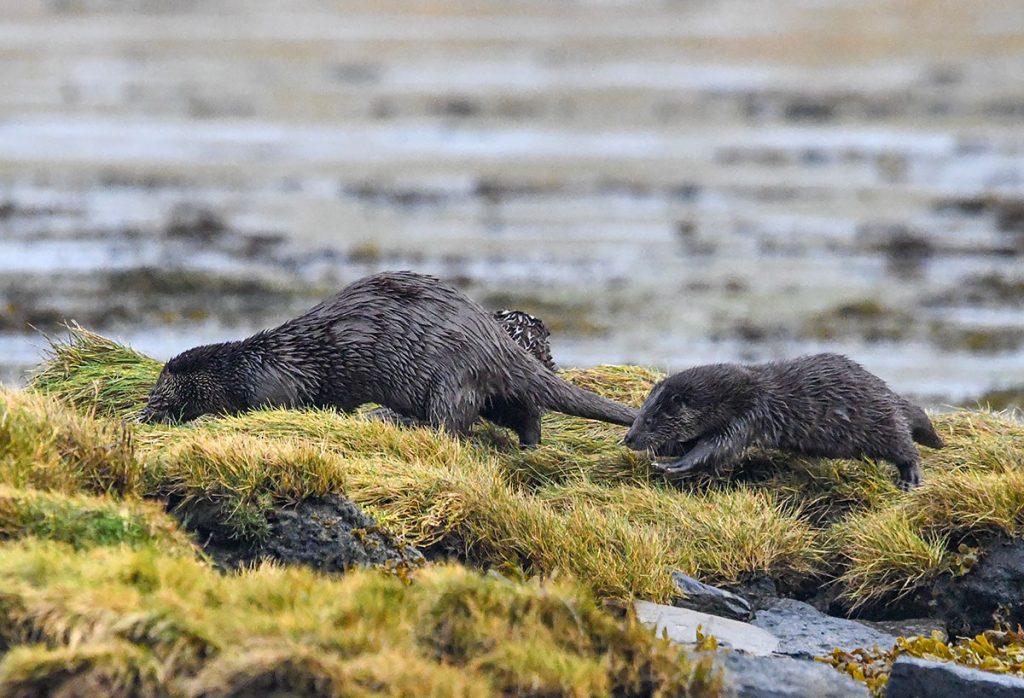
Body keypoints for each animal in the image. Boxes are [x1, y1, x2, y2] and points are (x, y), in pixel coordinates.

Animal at [139, 271, 636, 445]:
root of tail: (492, 339)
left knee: (454, 422)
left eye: (160, 392)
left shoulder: (273, 384)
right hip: (487, 385)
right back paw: (530, 445)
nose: (144, 414)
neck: (249, 364)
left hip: (452, 377)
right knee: (521, 411)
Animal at [624, 353, 943, 490]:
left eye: (650, 421)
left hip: (880, 420)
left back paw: (910, 478)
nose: (628, 438)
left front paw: (674, 464)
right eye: (639, 414)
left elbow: (717, 448)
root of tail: (885, 391)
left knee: (904, 445)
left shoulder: (748, 414)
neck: (737, 392)